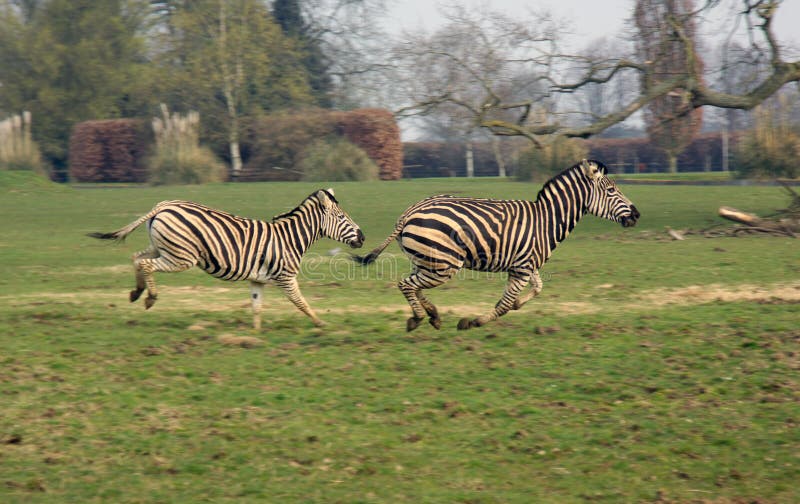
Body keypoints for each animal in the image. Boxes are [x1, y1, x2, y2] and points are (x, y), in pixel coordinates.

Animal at [89, 189, 364, 329]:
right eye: (342, 218)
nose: (362, 237)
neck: (290, 238)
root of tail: (165, 205)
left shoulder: (258, 280)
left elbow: (257, 307)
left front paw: (255, 334)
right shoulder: (285, 277)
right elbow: (301, 303)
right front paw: (321, 323)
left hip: (164, 248)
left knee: (137, 257)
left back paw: (136, 292)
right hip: (181, 256)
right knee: (146, 264)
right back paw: (150, 298)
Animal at [354, 159, 640, 331]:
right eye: (612, 191)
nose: (636, 215)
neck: (547, 220)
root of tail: (411, 210)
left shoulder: (526, 265)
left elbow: (537, 289)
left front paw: (517, 305)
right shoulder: (522, 268)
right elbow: (504, 304)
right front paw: (473, 322)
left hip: (426, 261)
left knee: (413, 286)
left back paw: (433, 315)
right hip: (444, 265)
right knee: (406, 285)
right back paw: (417, 318)